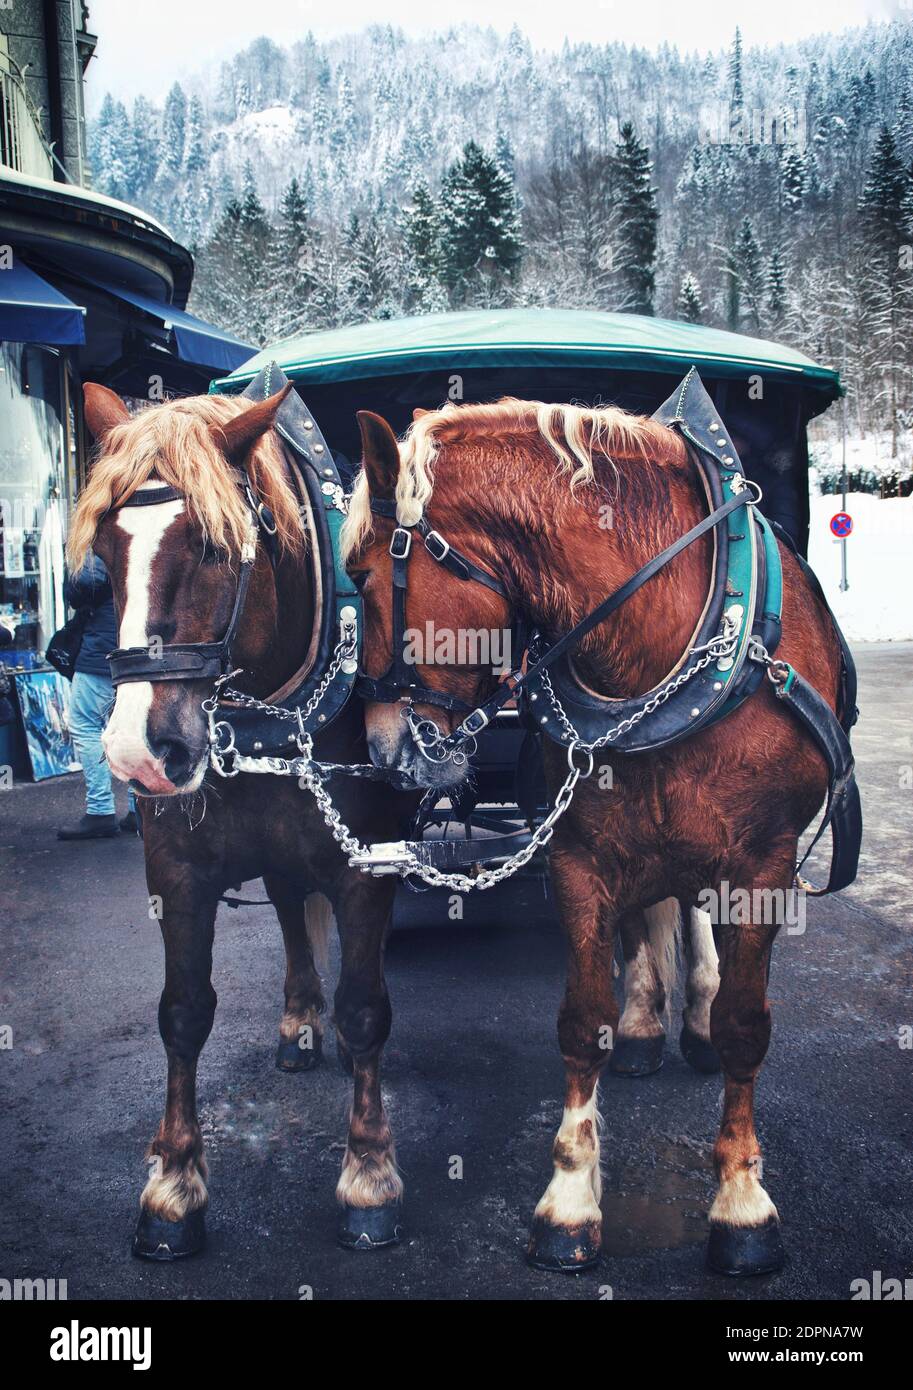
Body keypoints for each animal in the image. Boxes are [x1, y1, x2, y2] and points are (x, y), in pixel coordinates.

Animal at [69, 383, 417, 1259]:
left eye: (215, 546)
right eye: (106, 555)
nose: (137, 752)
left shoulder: (368, 864)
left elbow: (367, 1008)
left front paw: (369, 1175)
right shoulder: (178, 872)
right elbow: (184, 1013)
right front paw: (172, 1187)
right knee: (291, 905)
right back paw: (298, 1020)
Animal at [343, 393, 849, 1277]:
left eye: (367, 578)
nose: (380, 749)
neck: (664, 646)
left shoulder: (760, 865)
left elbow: (745, 1027)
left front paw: (742, 1205)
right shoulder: (579, 858)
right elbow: (583, 1022)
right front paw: (569, 1201)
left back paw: (692, 1018)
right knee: (650, 915)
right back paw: (647, 1022)